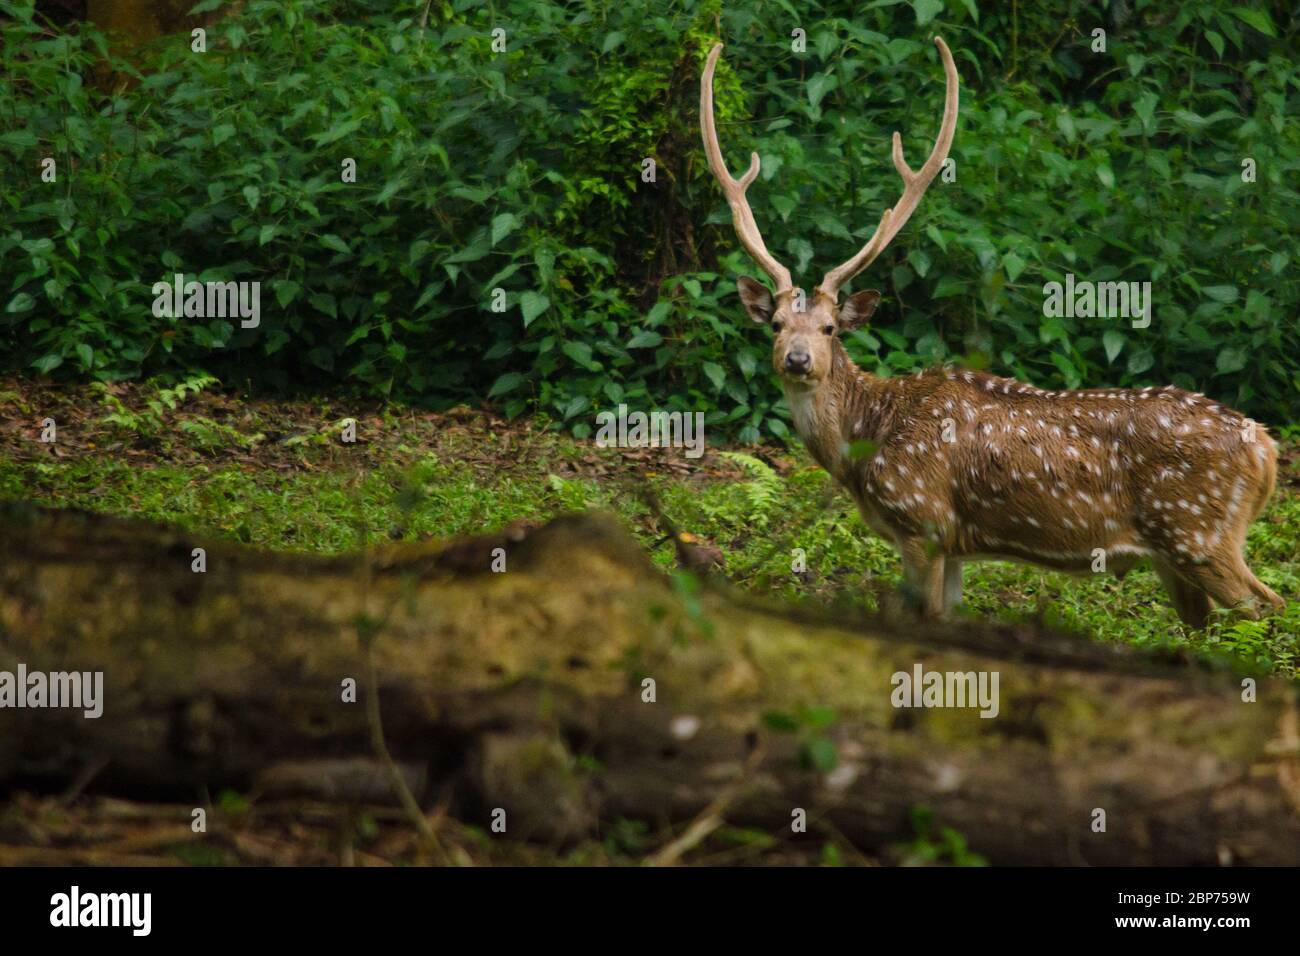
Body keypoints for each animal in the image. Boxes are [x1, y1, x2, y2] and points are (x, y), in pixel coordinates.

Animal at [700, 36, 1284, 628]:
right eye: (776, 324)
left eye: (829, 327)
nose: (797, 360)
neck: (866, 444)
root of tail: (1267, 448)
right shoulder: (955, 547)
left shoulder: (924, 520)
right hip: (1181, 554)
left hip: (1198, 530)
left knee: (1268, 605)